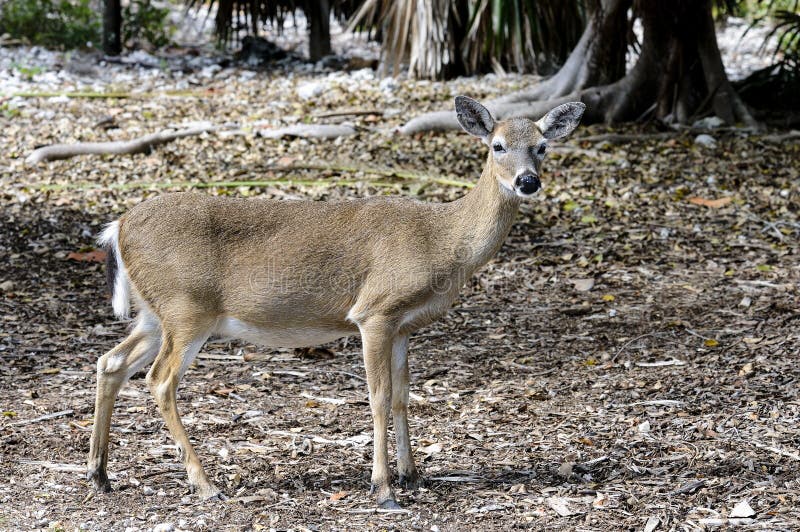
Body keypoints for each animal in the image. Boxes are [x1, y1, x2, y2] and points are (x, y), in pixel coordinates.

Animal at [87, 96, 585, 509]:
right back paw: (204, 484)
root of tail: (118, 227)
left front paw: (412, 475)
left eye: (542, 146)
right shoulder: (375, 311)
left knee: (111, 361)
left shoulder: (405, 325)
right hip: (187, 307)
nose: (527, 181)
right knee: (159, 380)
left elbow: (404, 395)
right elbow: (378, 396)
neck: (442, 241)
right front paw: (383, 489)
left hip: (156, 313)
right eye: (497, 145)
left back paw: (100, 474)